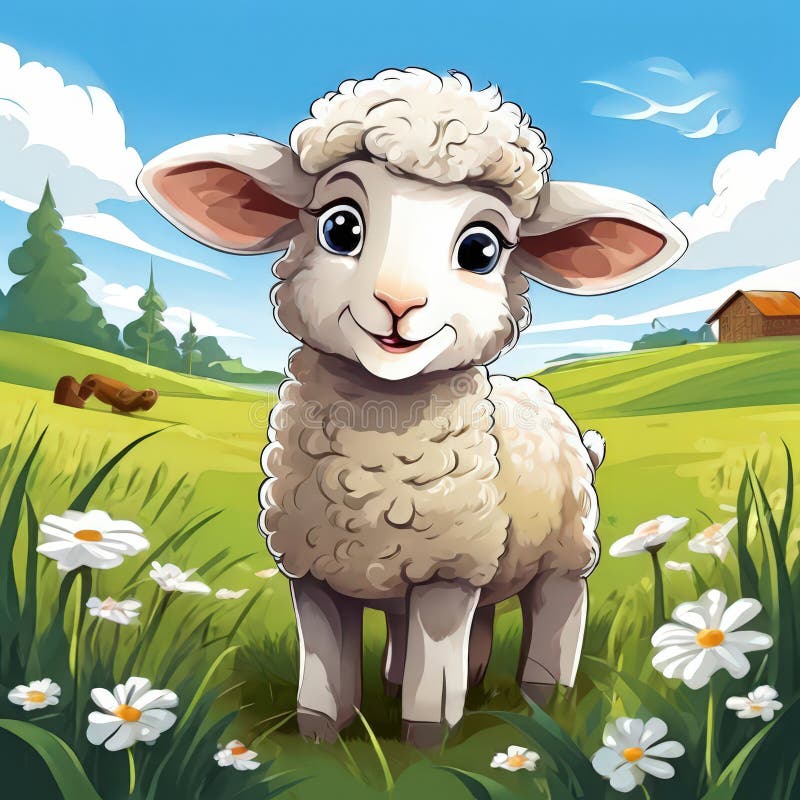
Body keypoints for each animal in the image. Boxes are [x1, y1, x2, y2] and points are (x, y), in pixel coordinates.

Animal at [137, 67, 687, 748]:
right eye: (341, 228)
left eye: (481, 249)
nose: (398, 303)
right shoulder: (316, 572)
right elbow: (325, 678)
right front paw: (323, 737)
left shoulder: (447, 572)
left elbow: (433, 683)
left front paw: (426, 744)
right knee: (464, 630)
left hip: (564, 553)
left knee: (555, 620)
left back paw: (542, 701)